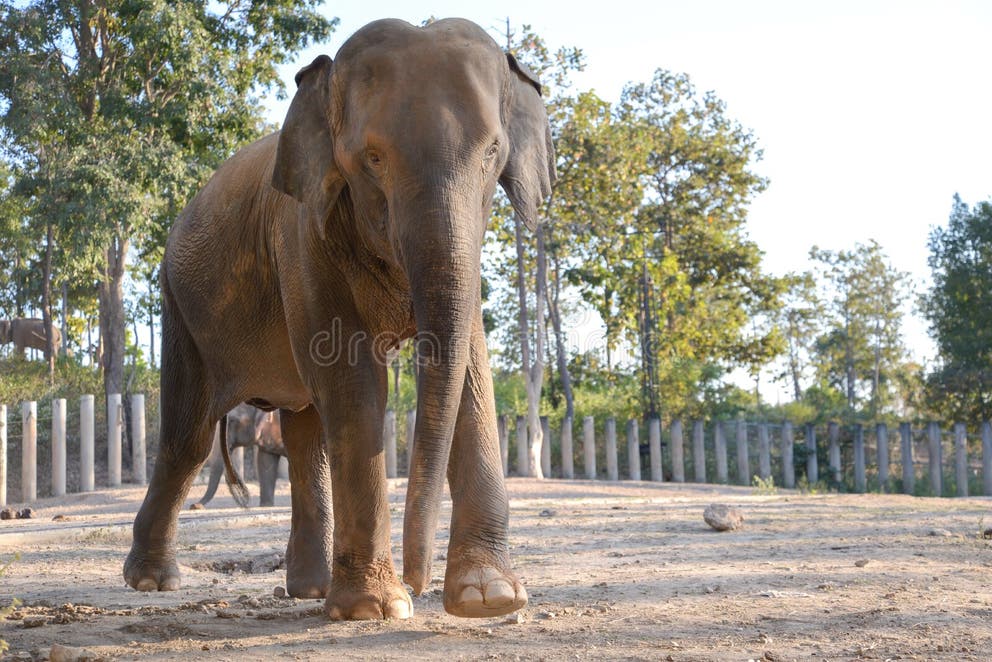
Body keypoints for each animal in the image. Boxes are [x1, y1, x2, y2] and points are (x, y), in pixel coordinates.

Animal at [123, 17, 554, 622]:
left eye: (494, 151)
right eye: (372, 158)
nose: (419, 582)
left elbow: (472, 375)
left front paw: (486, 598)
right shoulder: (303, 234)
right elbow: (354, 381)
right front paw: (379, 609)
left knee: (305, 433)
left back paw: (308, 589)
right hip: (178, 302)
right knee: (189, 434)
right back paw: (152, 582)